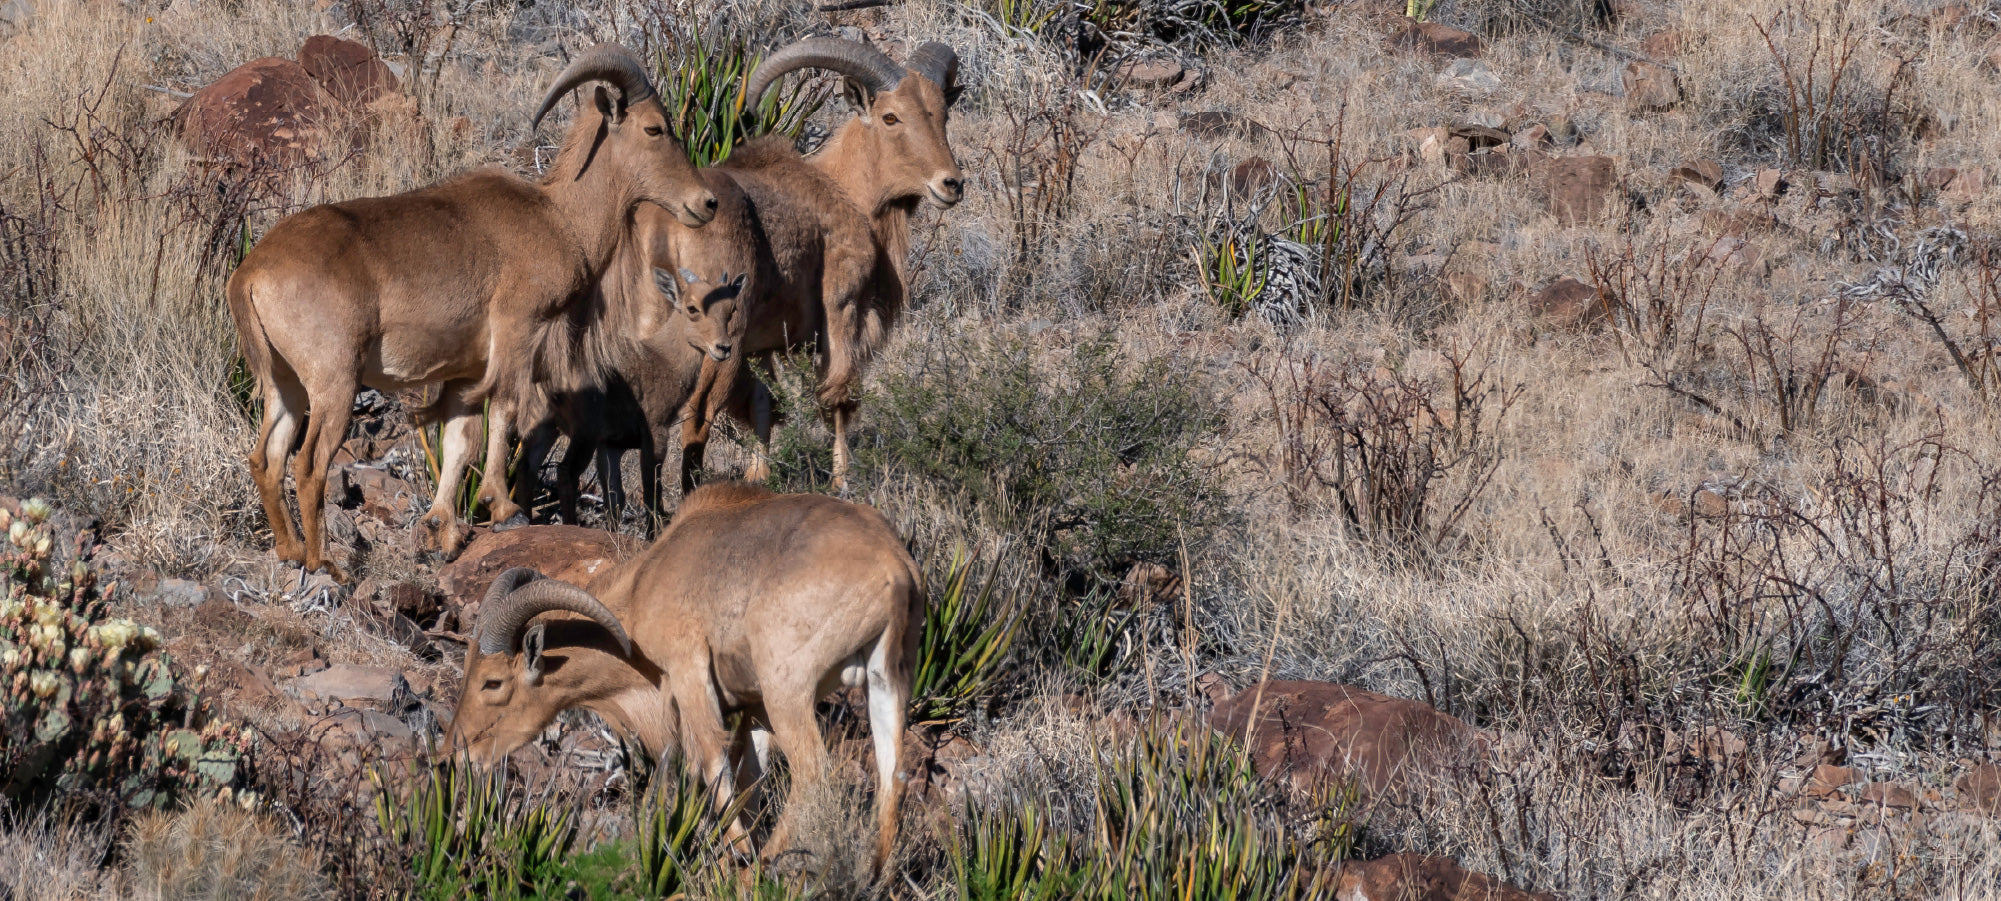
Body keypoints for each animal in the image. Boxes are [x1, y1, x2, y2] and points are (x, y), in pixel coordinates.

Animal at [226, 44, 716, 580]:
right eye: (654, 128)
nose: (707, 202)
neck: (559, 219)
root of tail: (248, 275)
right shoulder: (518, 331)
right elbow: (504, 412)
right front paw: (503, 507)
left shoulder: (464, 372)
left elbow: (460, 442)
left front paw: (444, 530)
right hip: (334, 382)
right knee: (309, 464)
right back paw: (325, 563)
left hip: (284, 383)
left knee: (266, 458)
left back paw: (290, 550)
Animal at [447, 482, 923, 880]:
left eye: (492, 683)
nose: (456, 754)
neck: (645, 585)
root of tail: (895, 569)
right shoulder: (754, 709)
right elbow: (751, 779)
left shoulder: (690, 673)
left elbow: (714, 763)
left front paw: (737, 854)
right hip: (886, 681)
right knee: (892, 777)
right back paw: (874, 875)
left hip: (788, 690)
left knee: (814, 774)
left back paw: (762, 867)